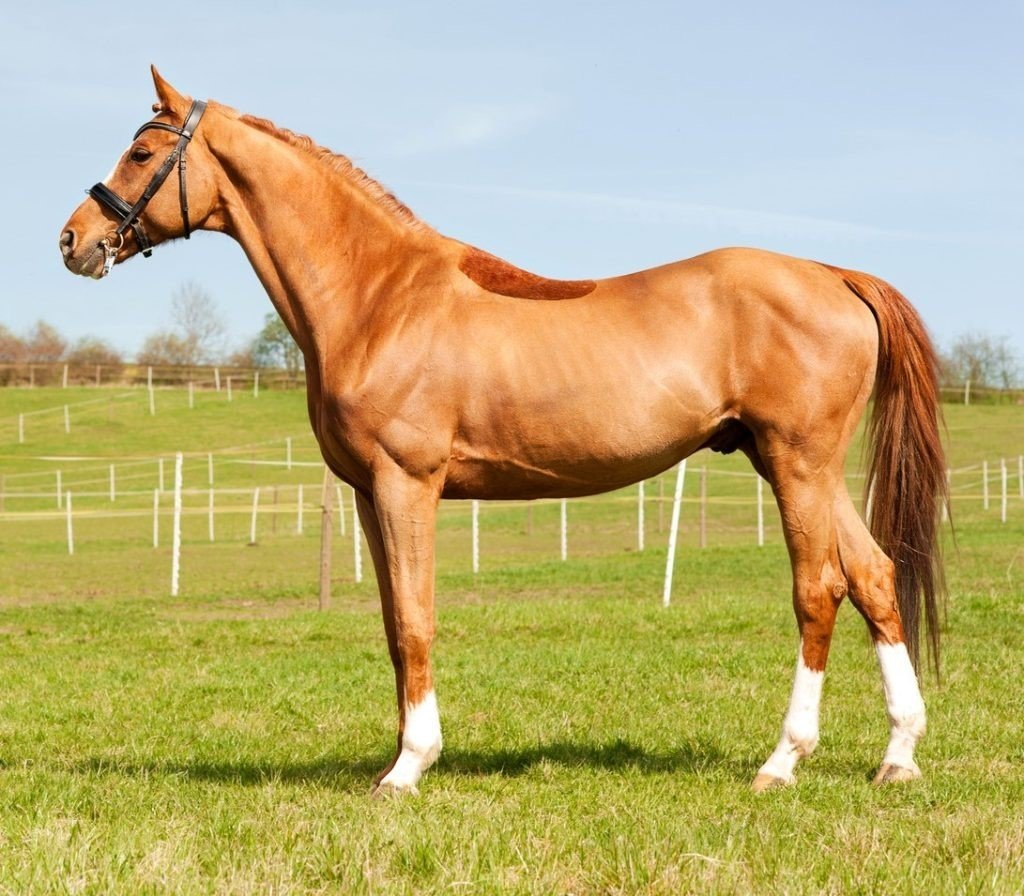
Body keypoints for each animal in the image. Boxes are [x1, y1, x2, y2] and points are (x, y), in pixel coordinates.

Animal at [59, 68, 947, 796]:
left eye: (142, 151)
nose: (74, 240)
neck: (380, 296)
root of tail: (835, 275)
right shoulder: (366, 495)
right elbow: (393, 626)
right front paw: (397, 754)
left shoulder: (406, 485)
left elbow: (416, 619)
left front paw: (408, 768)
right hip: (797, 466)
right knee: (873, 577)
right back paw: (898, 756)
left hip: (799, 465)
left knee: (818, 590)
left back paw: (782, 761)